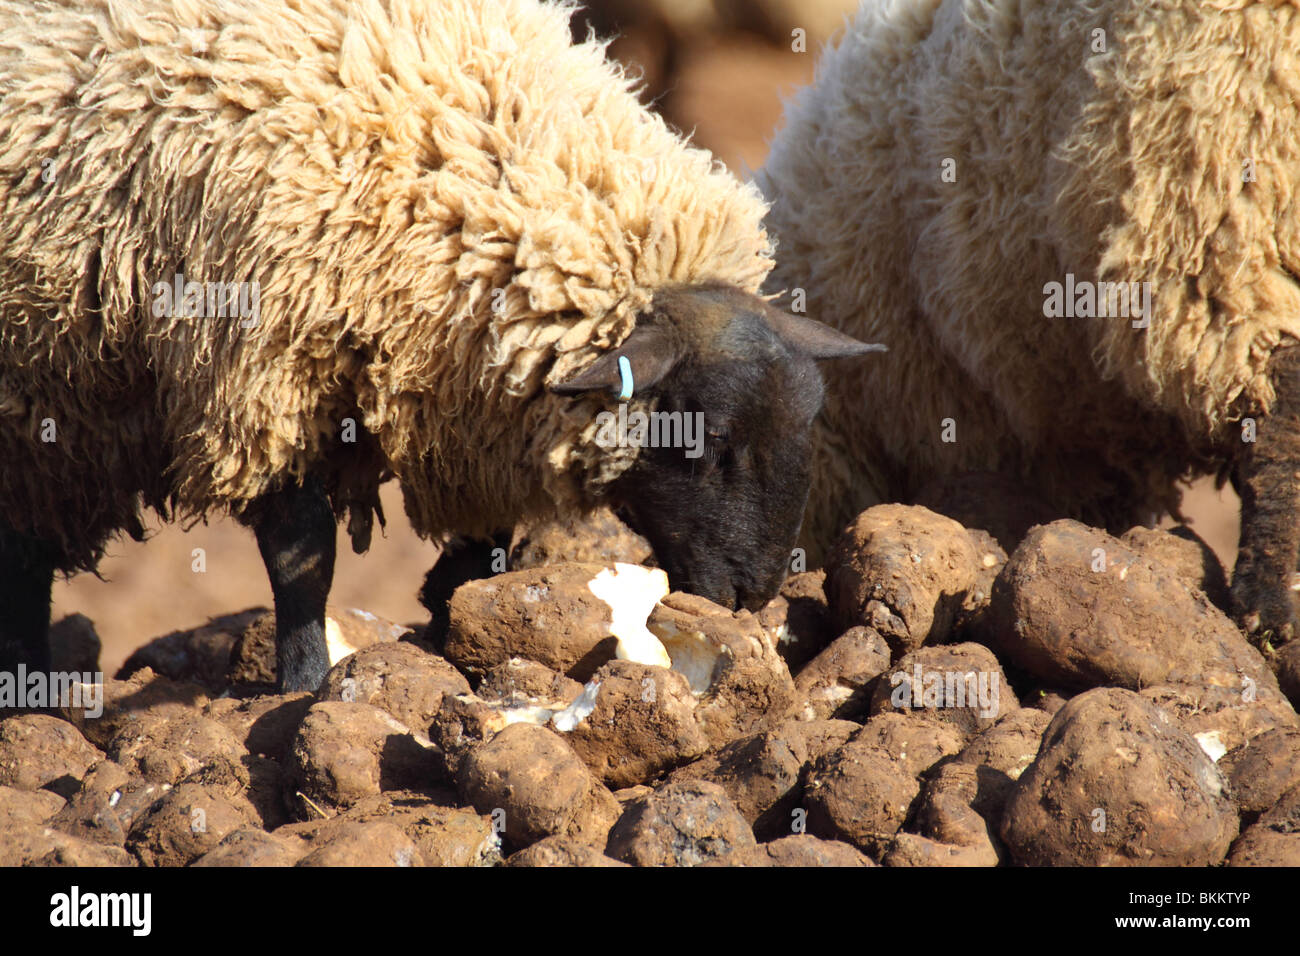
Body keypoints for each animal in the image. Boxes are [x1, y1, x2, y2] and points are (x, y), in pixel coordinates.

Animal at [0, 0, 876, 691]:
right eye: (710, 436)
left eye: (809, 425)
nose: (756, 595)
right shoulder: (263, 378)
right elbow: (302, 556)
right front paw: (304, 682)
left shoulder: (461, 406)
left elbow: (481, 548)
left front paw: (454, 619)